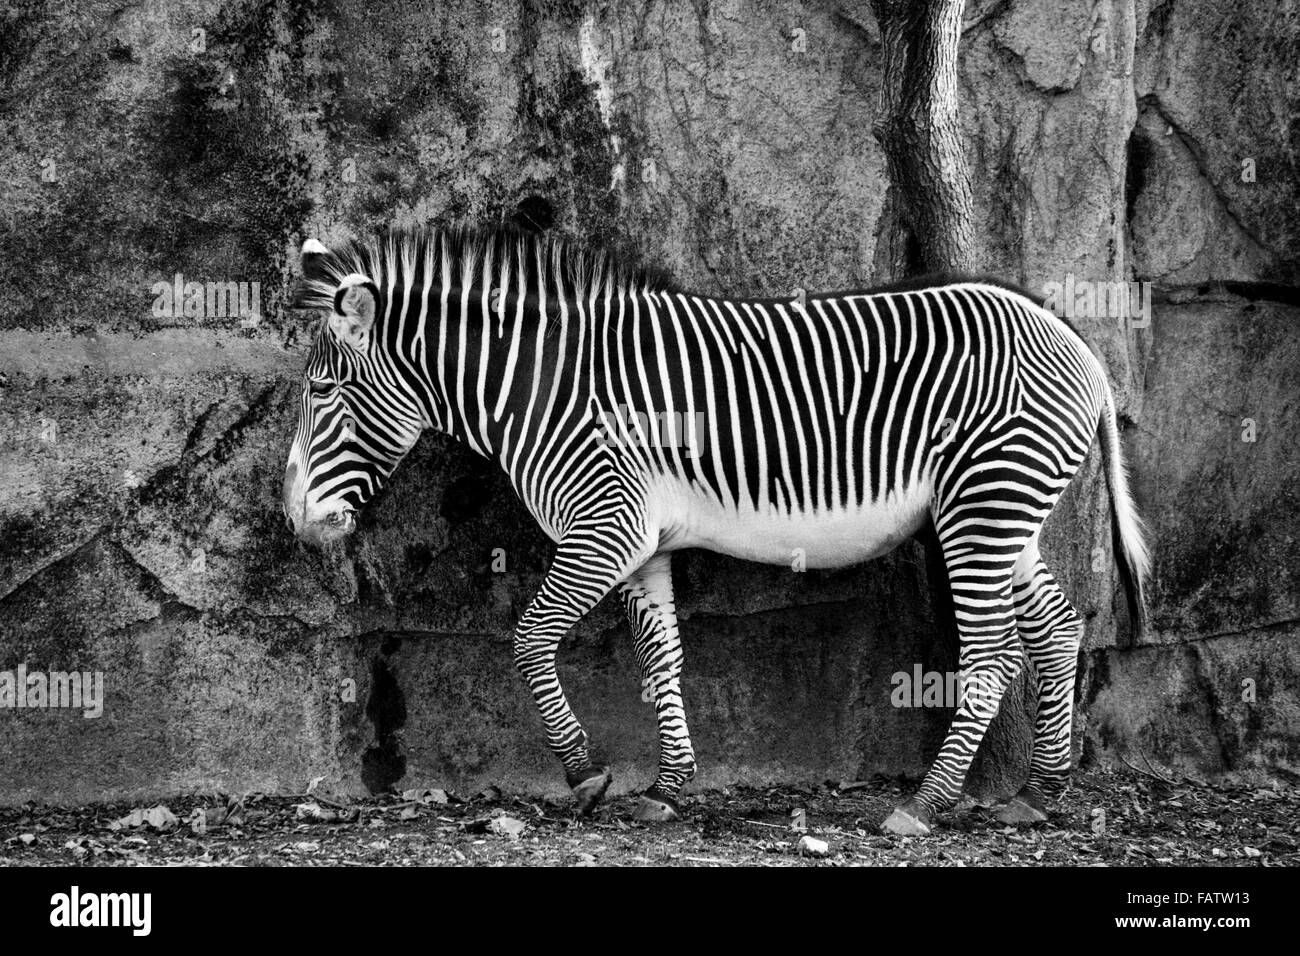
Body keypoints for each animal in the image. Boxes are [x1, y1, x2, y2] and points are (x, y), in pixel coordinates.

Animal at [282, 225, 1149, 835]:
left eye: (322, 391)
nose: (295, 520)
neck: (544, 389)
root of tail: (1075, 337)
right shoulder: (641, 543)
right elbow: (661, 659)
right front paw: (668, 789)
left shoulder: (603, 524)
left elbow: (529, 640)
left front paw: (584, 774)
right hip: (1005, 513)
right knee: (1057, 627)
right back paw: (1039, 791)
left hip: (984, 504)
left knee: (994, 651)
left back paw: (926, 805)